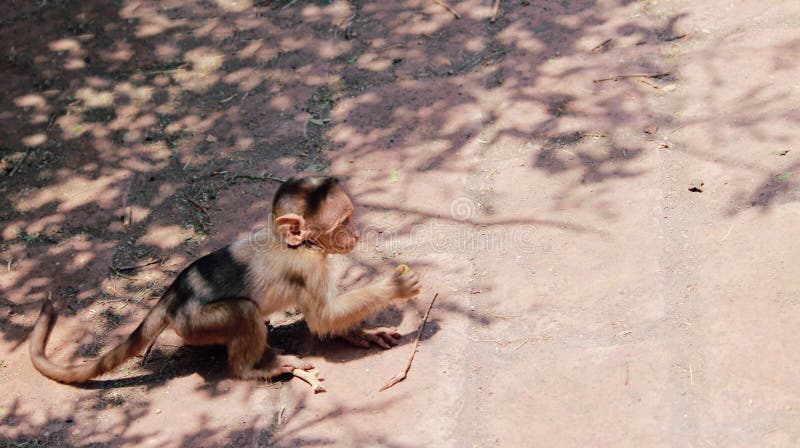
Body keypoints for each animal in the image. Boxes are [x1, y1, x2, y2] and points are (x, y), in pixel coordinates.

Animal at [29, 175, 421, 384]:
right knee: (244, 312)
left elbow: (329, 319)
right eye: (344, 223)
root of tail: (174, 294)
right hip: (193, 324)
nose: (354, 235)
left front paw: (363, 333)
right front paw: (393, 288)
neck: (297, 244)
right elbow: (322, 316)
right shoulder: (308, 266)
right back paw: (251, 370)